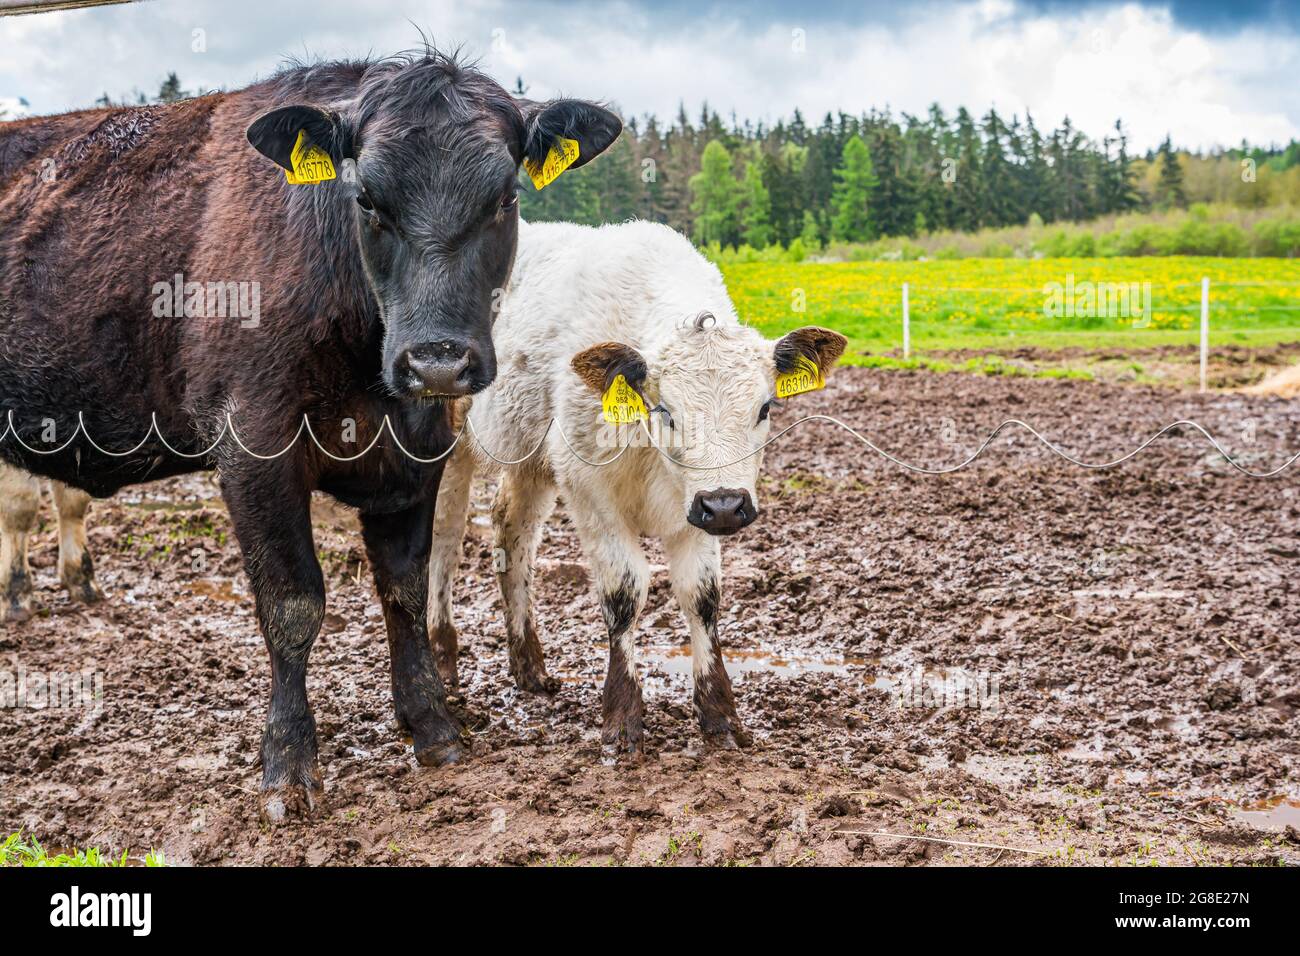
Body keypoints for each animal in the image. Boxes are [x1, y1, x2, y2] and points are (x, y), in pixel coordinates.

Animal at [428, 220, 846, 754]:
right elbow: (625, 592)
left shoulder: (695, 511)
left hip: (530, 461)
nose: (727, 505)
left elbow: (701, 595)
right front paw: (622, 717)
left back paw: (529, 666)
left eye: (765, 407)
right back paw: (442, 657)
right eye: (665, 410)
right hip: (445, 449)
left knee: (511, 532)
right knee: (444, 536)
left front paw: (720, 714)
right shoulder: (591, 494)